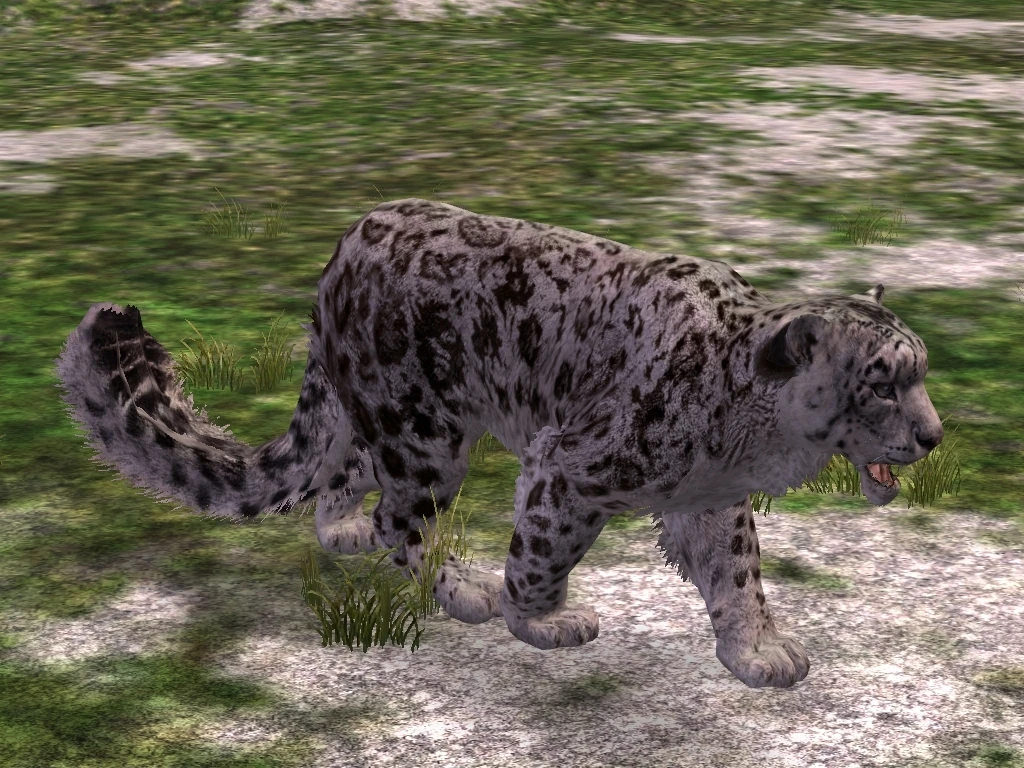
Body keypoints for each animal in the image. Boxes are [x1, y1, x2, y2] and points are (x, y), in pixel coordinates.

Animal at [56, 197, 944, 689]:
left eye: (922, 371)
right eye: (880, 382)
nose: (934, 435)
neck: (750, 432)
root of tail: (343, 250)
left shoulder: (712, 498)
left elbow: (738, 572)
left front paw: (757, 652)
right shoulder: (570, 469)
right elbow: (544, 552)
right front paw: (539, 620)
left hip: (378, 415)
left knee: (343, 469)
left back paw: (341, 530)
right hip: (425, 431)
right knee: (404, 519)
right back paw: (464, 590)